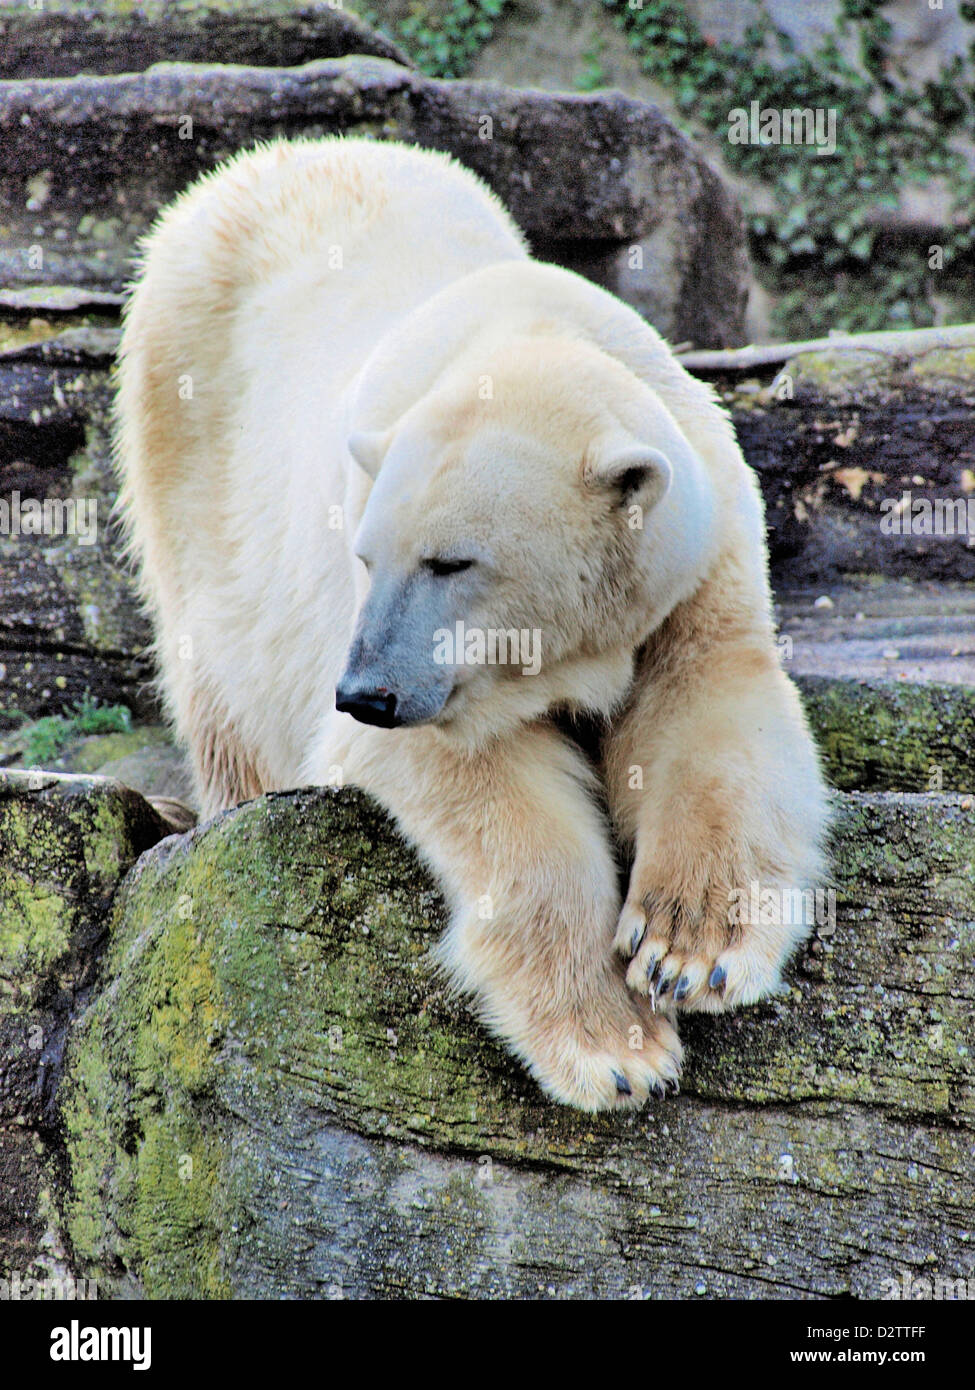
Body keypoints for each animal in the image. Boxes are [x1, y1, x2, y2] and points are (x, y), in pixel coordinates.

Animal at [114, 136, 829, 1112]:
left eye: (451, 561)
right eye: (368, 556)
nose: (365, 693)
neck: (525, 338)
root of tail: (266, 160)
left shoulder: (695, 556)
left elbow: (711, 709)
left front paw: (688, 954)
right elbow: (488, 794)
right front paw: (611, 1048)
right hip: (190, 456)